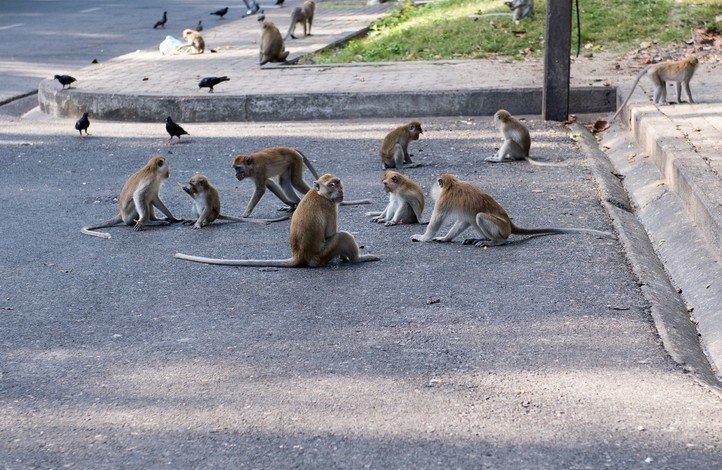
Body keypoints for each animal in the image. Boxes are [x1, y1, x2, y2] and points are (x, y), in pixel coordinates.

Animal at [175, 174, 381, 267]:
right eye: (332, 185)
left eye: (339, 183)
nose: (340, 191)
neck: (320, 194)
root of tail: (300, 256)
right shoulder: (330, 206)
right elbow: (331, 233)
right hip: (321, 256)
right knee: (342, 237)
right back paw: (357, 259)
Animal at [233, 147, 370, 217]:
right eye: (234, 168)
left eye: (238, 168)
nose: (236, 175)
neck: (251, 165)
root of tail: (291, 149)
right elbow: (269, 183)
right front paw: (289, 203)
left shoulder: (259, 171)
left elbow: (261, 189)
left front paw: (245, 214)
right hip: (290, 163)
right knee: (284, 181)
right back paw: (295, 204)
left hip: (295, 160)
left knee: (295, 181)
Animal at [410, 174, 614, 246]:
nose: (432, 188)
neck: (452, 184)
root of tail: (509, 223)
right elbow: (463, 221)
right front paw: (445, 238)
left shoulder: (443, 200)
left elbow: (437, 220)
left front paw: (423, 237)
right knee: (474, 219)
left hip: (500, 228)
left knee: (480, 217)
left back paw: (496, 242)